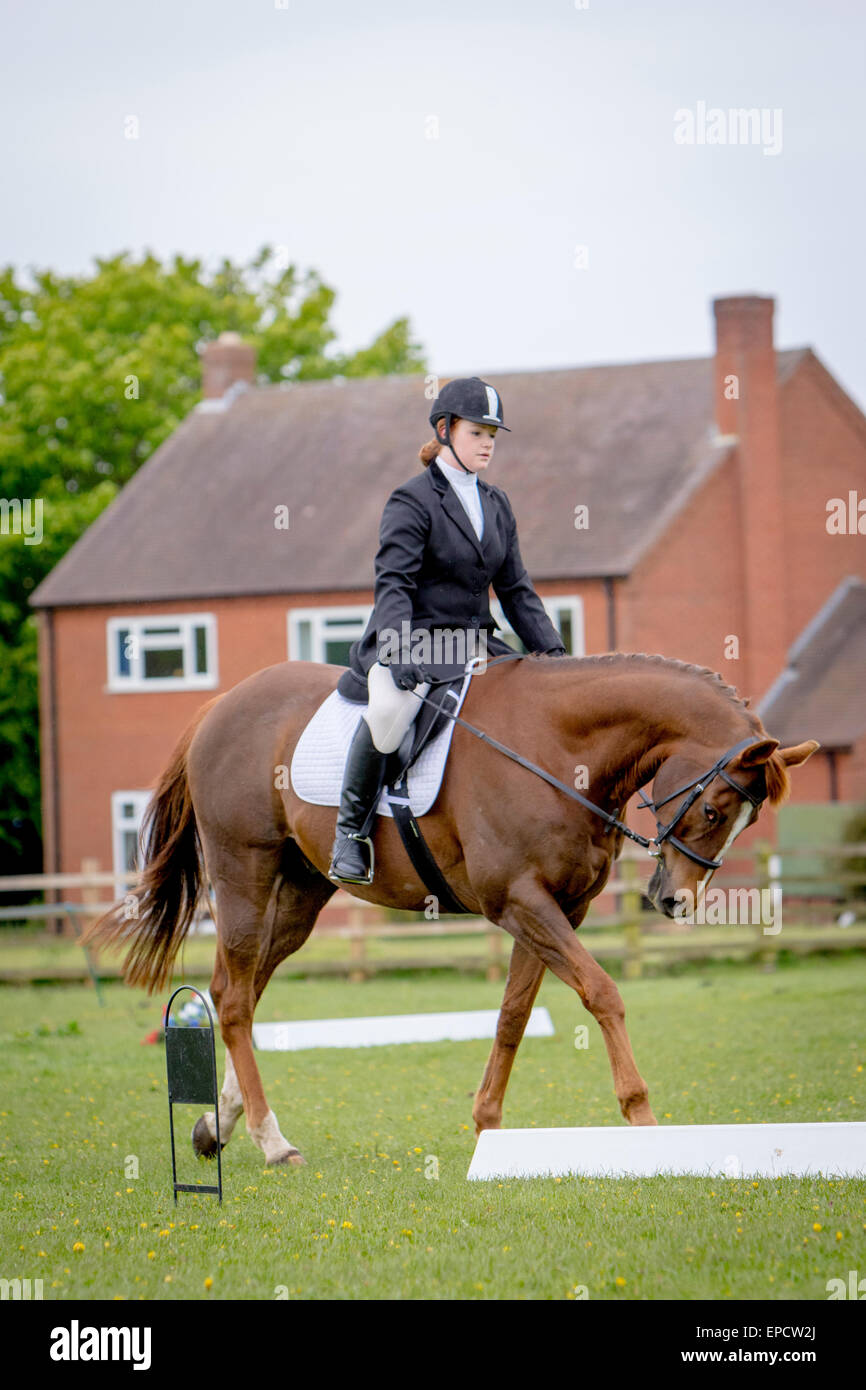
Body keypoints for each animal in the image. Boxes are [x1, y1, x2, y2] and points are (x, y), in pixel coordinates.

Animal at [84, 651, 819, 1167]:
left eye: (746, 821)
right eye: (716, 810)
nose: (674, 901)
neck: (557, 748)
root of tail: (219, 705)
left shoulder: (555, 910)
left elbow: (514, 1015)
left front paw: (487, 1125)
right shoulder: (519, 899)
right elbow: (602, 993)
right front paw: (641, 1118)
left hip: (296, 896)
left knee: (239, 990)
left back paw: (220, 1124)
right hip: (246, 873)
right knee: (235, 999)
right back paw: (272, 1140)